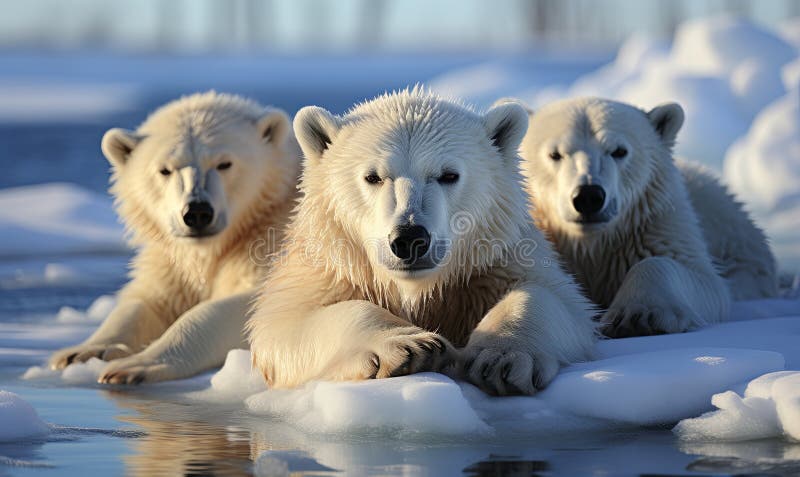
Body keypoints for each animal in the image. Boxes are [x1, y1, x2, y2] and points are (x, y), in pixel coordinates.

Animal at [48, 91, 301, 384]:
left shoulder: (268, 242)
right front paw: (81, 352)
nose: (198, 213)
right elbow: (145, 301)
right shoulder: (171, 261)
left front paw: (134, 365)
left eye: (224, 163)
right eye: (165, 170)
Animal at [246, 87, 597, 396]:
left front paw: (500, 358)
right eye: (373, 177)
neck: (418, 290)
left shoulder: (493, 262)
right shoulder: (329, 270)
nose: (409, 238)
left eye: (448, 175)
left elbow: (555, 299)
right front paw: (412, 345)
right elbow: (284, 324)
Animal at [517, 96, 777, 338]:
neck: (590, 243)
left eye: (619, 151)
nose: (588, 196)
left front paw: (638, 315)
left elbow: (698, 276)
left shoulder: (657, 223)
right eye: (555, 154)